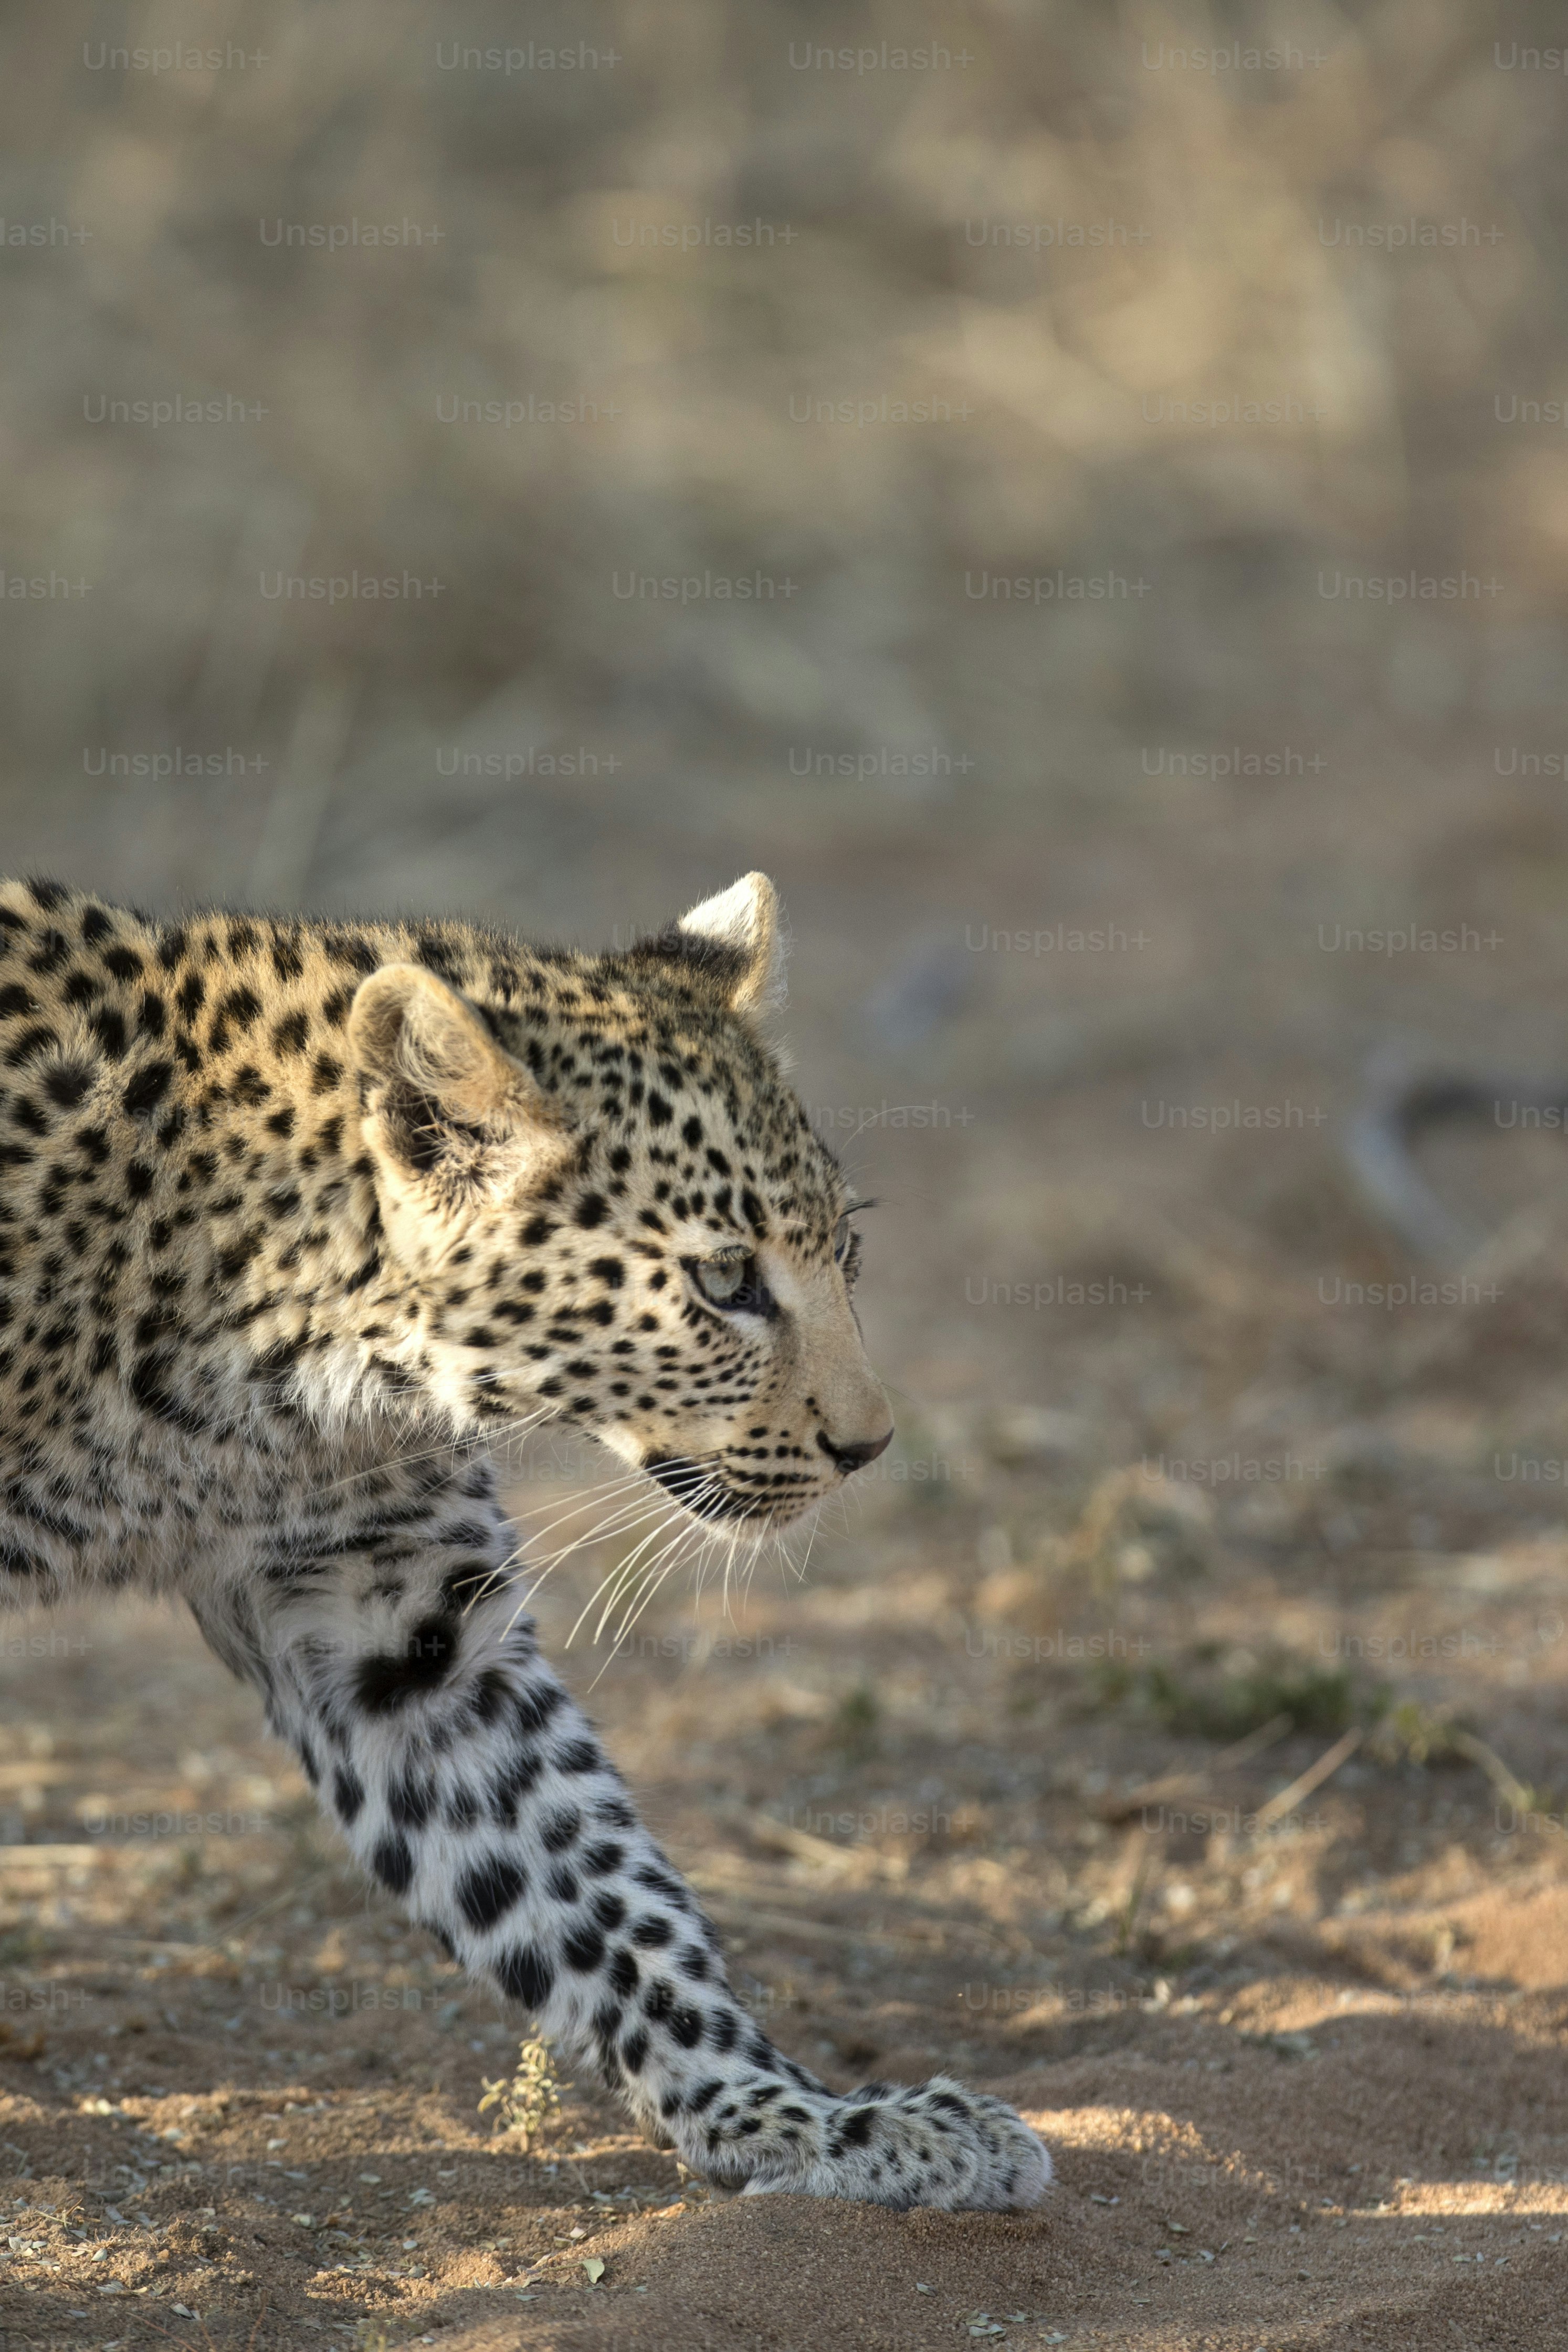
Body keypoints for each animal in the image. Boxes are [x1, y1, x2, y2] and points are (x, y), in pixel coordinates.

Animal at [0, 868, 1051, 2211]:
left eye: (846, 1255)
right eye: (724, 1279)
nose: (866, 1444)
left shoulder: (402, 1627)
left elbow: (585, 1884)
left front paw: (805, 2120)